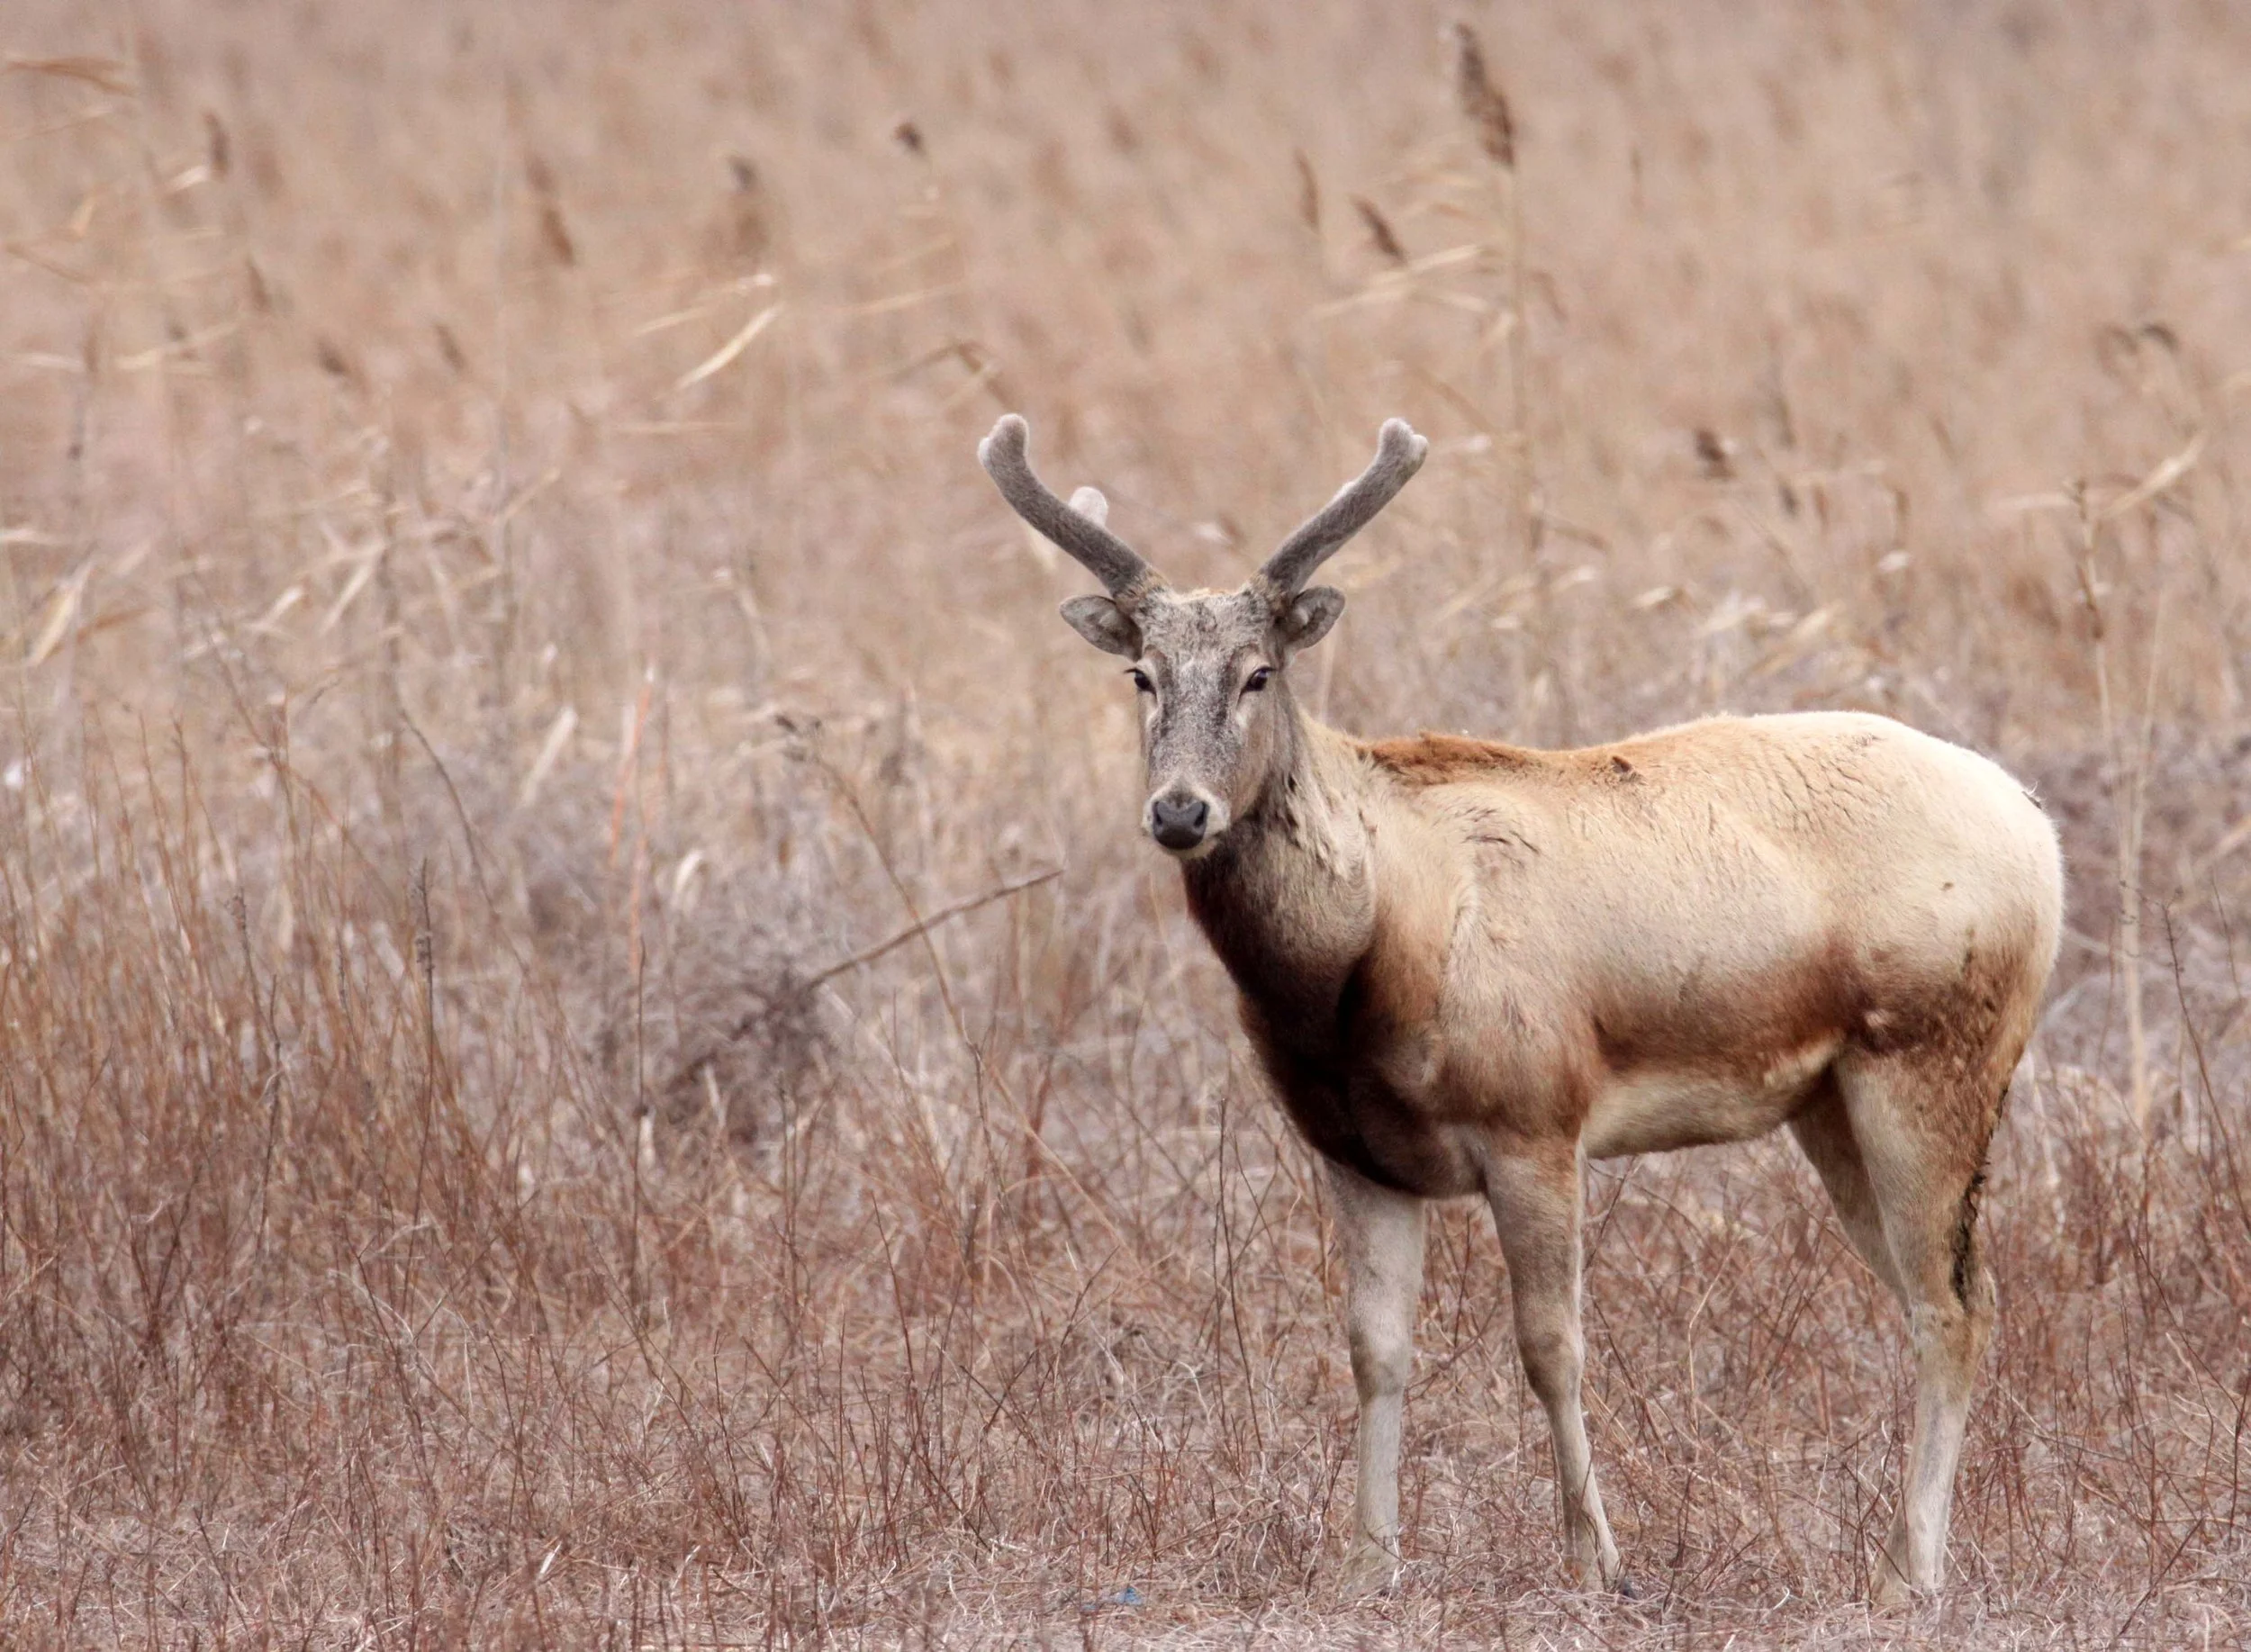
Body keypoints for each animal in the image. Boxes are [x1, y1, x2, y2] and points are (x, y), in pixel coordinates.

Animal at [979, 412, 2062, 1604]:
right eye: (1141, 672)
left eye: (1260, 671)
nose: (1179, 810)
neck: (1362, 957)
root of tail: (2036, 825)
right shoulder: (1352, 1148)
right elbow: (1373, 1347)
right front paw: (1365, 1559)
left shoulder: (1535, 1114)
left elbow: (1550, 1343)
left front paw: (1595, 1558)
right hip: (1829, 1101)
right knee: (1940, 1294)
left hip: (1934, 1054)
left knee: (1957, 1302)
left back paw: (1911, 1570)